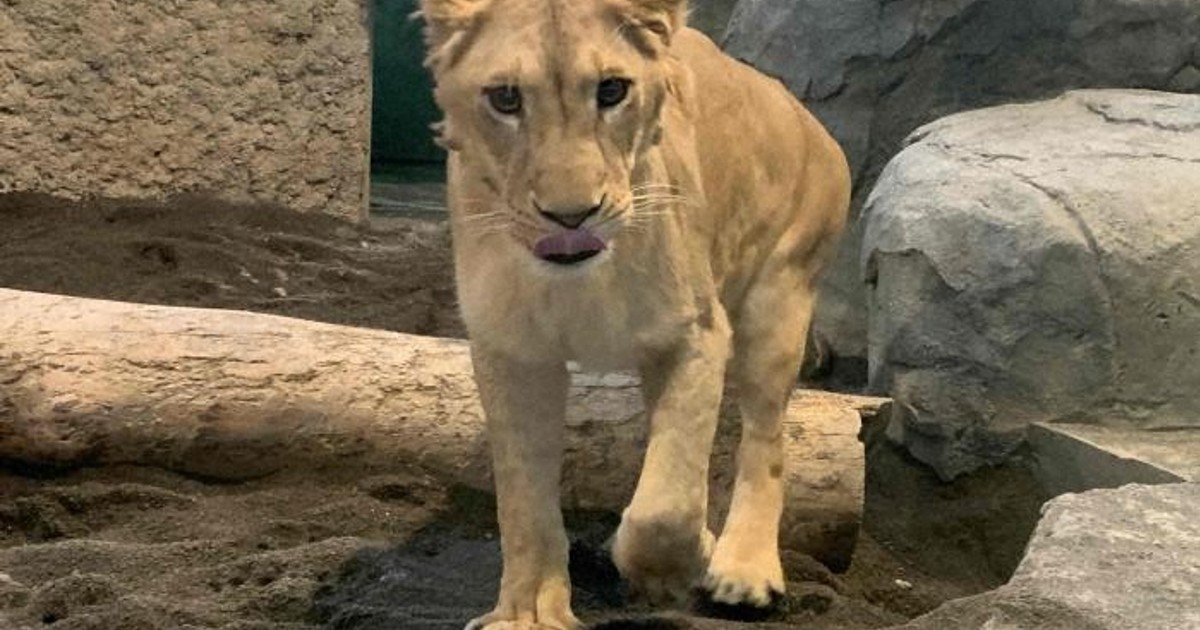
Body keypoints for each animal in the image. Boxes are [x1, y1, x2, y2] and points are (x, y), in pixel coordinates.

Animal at [418, 0, 850, 626]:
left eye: (611, 90)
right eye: (505, 99)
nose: (571, 216)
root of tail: (803, 114)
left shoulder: (696, 332)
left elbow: (663, 509)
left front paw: (681, 561)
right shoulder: (512, 349)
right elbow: (523, 501)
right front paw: (528, 613)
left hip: (781, 297)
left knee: (765, 442)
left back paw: (744, 570)